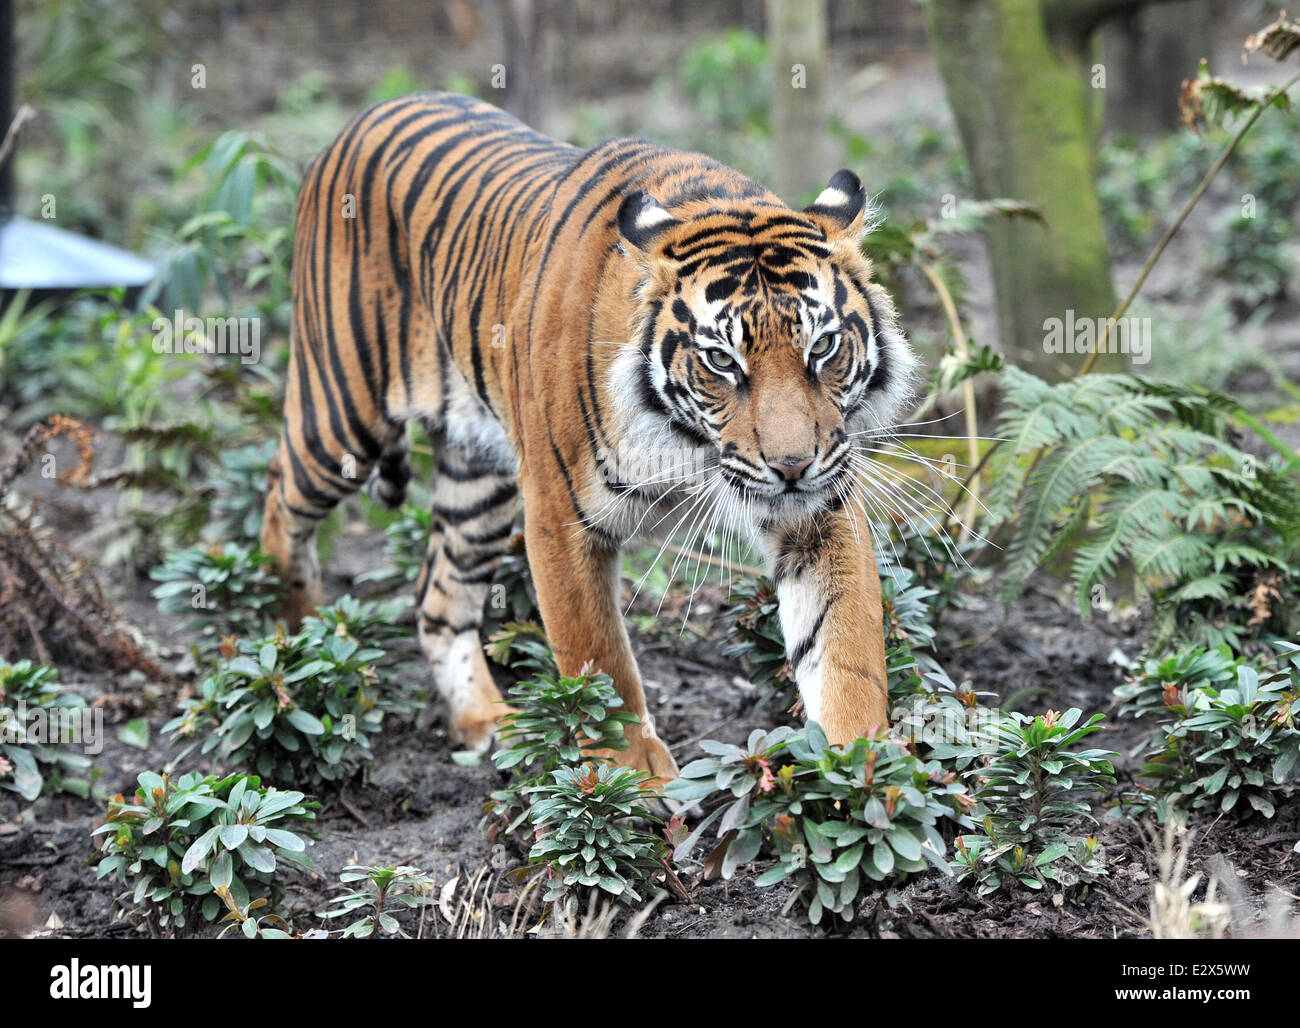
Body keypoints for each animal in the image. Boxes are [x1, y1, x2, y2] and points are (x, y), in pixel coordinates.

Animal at [261, 91, 918, 784]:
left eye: (822, 347)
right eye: (721, 360)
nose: (792, 466)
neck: (685, 444)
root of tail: (368, 115)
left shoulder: (820, 508)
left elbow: (845, 646)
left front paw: (864, 768)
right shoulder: (558, 518)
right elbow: (599, 664)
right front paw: (636, 781)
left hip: (478, 480)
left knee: (439, 596)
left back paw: (483, 721)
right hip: (341, 417)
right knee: (279, 497)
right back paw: (296, 638)